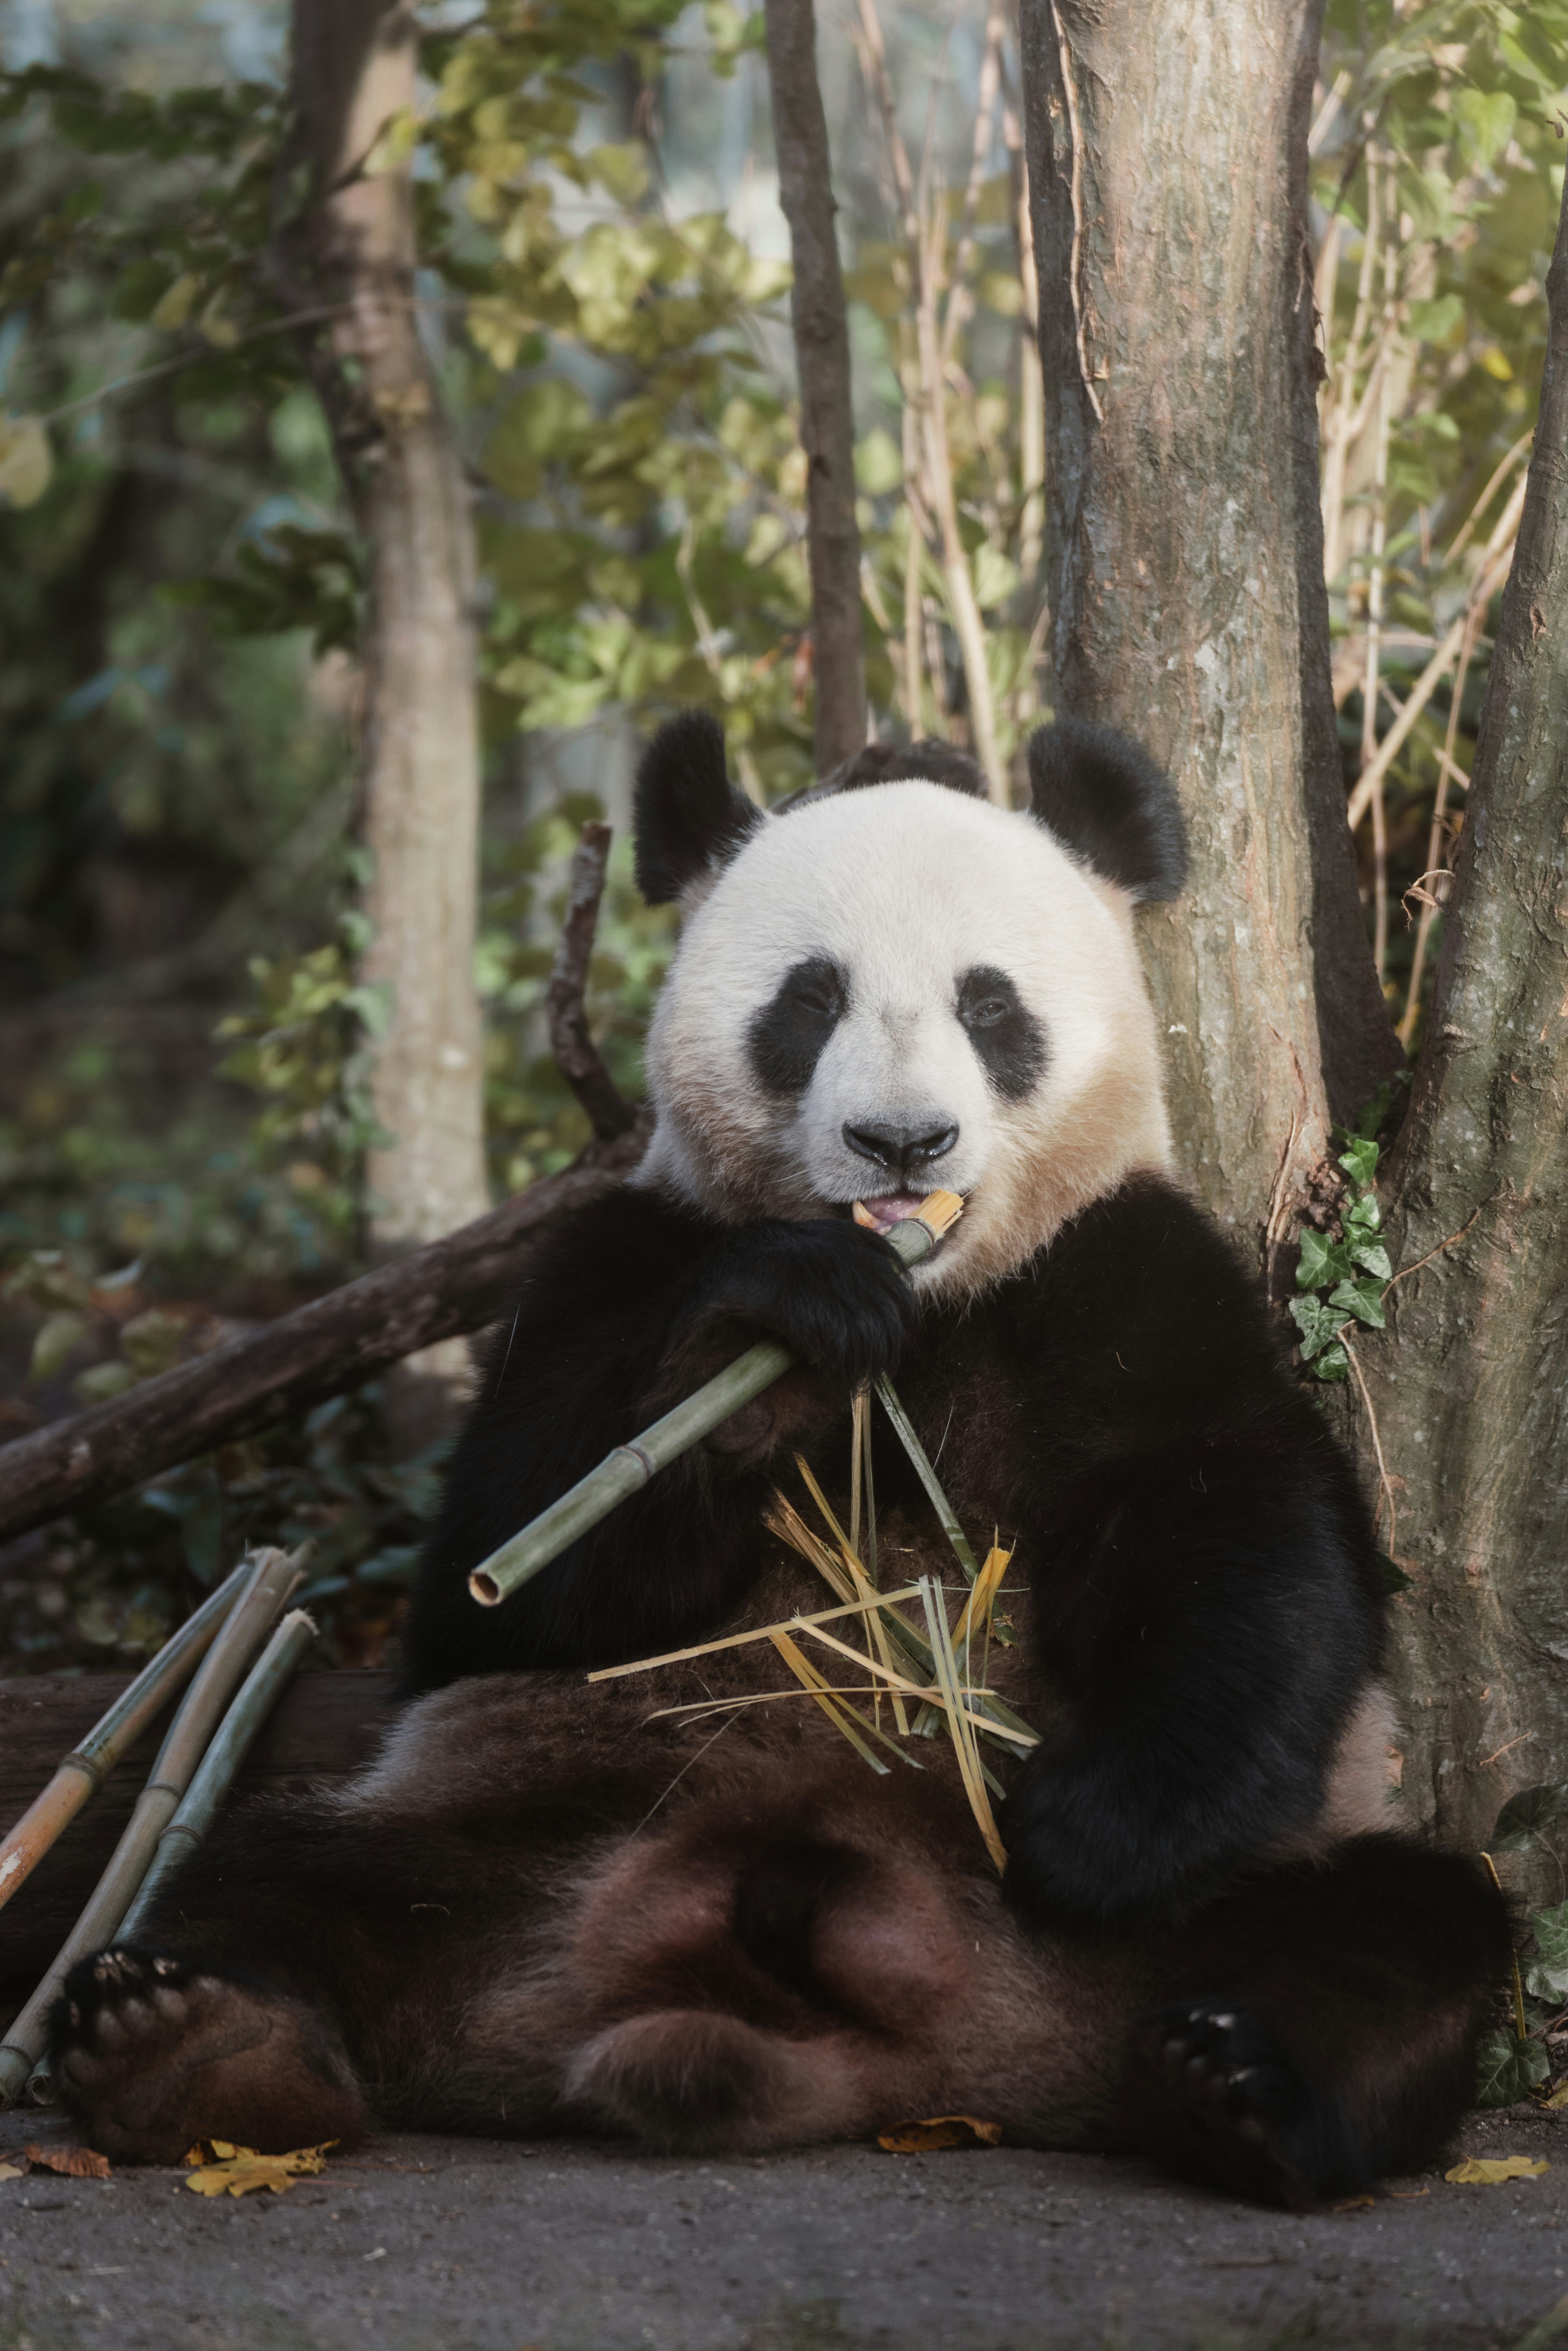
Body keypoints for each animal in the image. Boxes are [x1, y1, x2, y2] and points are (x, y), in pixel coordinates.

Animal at [50, 710, 1507, 2209]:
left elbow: (1245, 1537)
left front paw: (1088, 1834)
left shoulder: (1123, 1267)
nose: (901, 1142)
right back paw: (194, 2043)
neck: (926, 1300)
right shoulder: (620, 1256)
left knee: (1399, 1933)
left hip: (1228, 1906)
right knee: (271, 1877)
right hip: (526, 1820)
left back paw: (1237, 2087)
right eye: (808, 1003)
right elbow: (502, 1568)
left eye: (990, 1007)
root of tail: (915, 2047)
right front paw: (787, 1331)